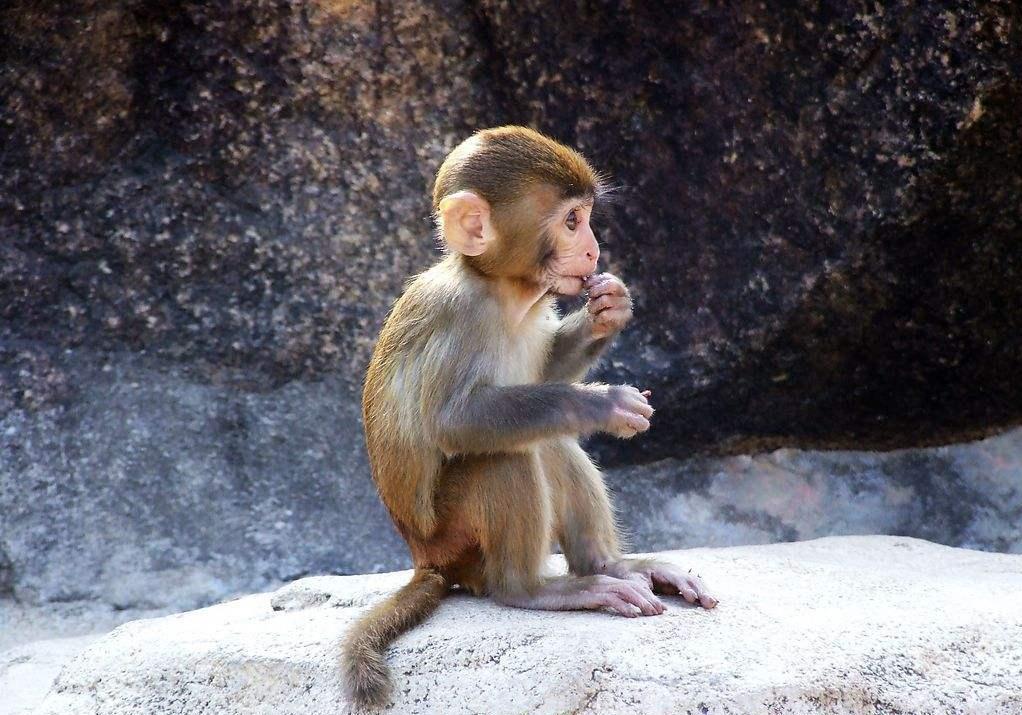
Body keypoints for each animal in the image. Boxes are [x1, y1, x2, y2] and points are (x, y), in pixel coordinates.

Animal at [342, 126, 716, 707]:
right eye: (572, 220)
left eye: (586, 217)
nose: (593, 249)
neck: (502, 290)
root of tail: (425, 557)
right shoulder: (459, 315)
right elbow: (453, 421)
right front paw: (603, 403)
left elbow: (544, 376)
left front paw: (609, 308)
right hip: (456, 540)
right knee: (506, 457)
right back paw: (536, 590)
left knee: (550, 443)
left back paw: (611, 566)